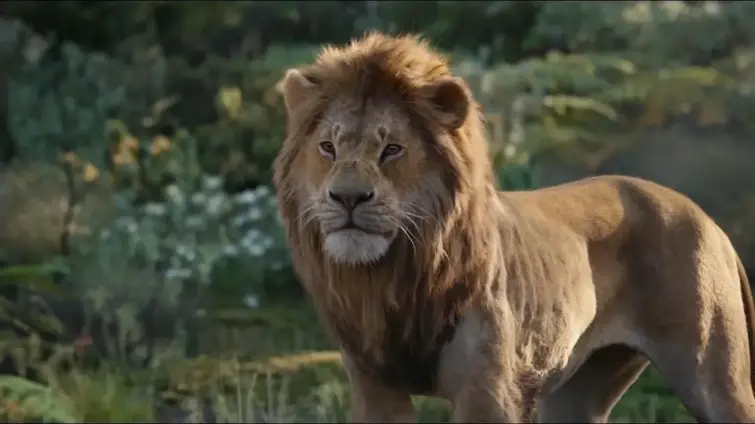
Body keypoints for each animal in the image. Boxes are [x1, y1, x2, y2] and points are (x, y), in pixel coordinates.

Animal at [272, 31, 755, 423]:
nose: (347, 198)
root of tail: (705, 216)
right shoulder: (374, 386)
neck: (393, 276)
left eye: (392, 149)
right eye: (328, 148)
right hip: (579, 393)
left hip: (714, 378)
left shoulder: (487, 390)